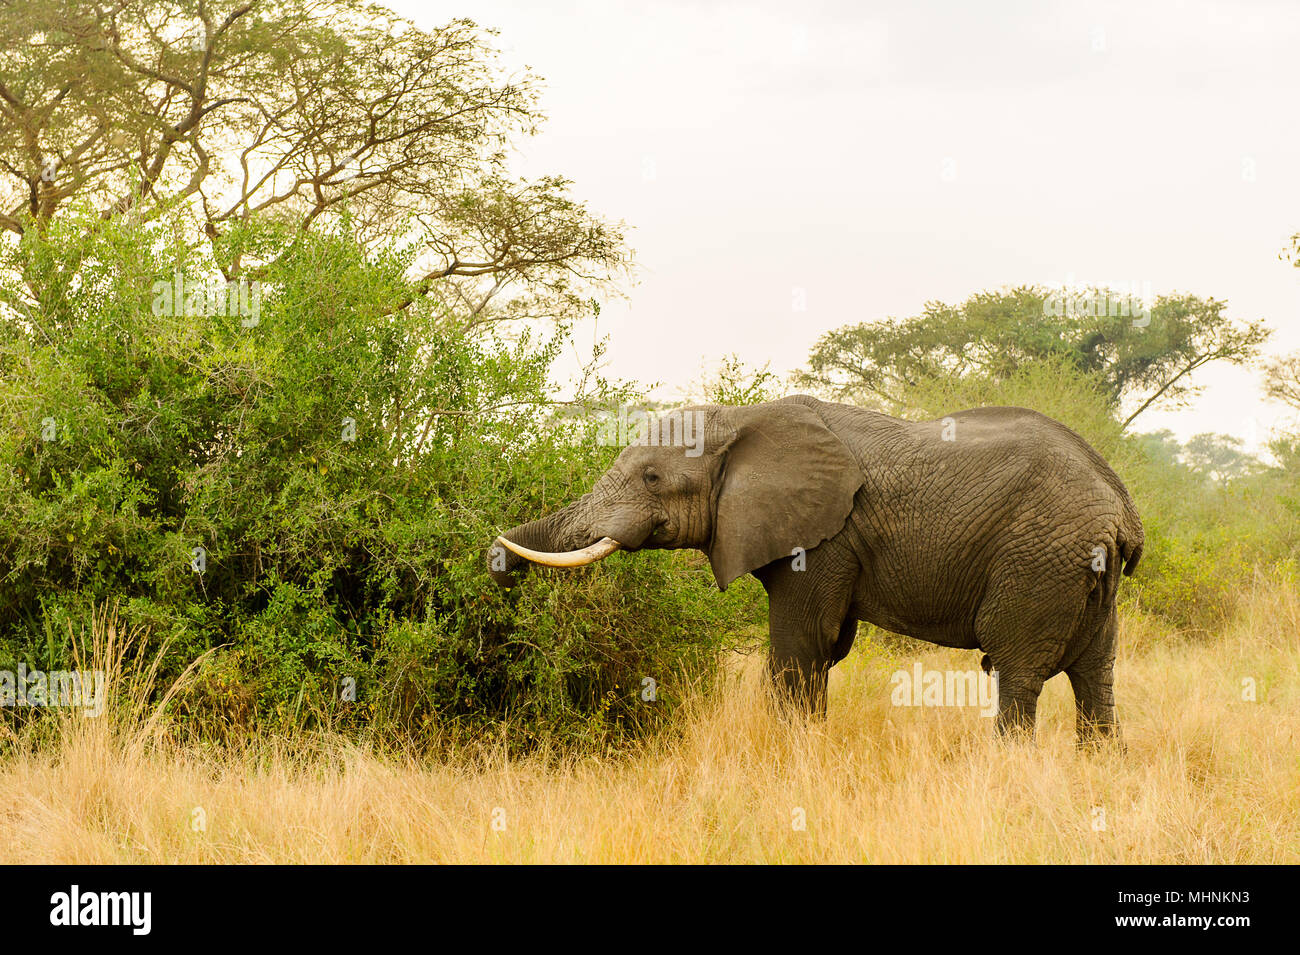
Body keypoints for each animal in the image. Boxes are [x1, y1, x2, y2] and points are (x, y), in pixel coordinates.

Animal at [487, 395, 1143, 742]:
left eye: (651, 477)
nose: (494, 561)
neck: (740, 420)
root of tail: (1121, 507)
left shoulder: (827, 537)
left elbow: (802, 644)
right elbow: (825, 649)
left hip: (1040, 557)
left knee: (1017, 671)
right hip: (1085, 573)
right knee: (1096, 676)